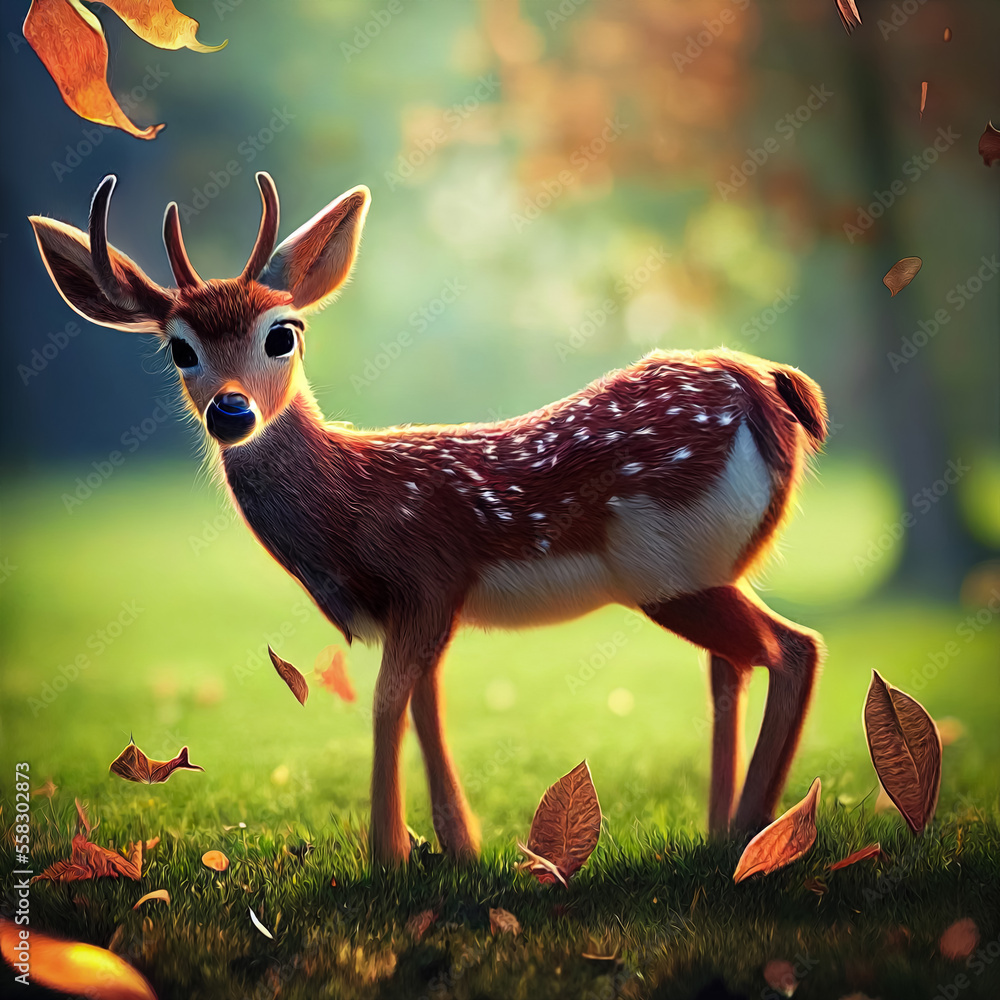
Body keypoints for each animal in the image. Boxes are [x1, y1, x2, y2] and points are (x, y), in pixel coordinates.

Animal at [30, 173, 827, 866]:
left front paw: (388, 855)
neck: (349, 506)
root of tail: (767, 385)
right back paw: (721, 833)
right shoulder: (422, 609)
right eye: (179, 348)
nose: (231, 410)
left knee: (793, 648)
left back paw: (750, 838)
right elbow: (424, 705)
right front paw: (457, 848)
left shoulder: (429, 578)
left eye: (282, 334)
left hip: (663, 564)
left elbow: (389, 702)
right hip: (702, 568)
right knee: (734, 662)